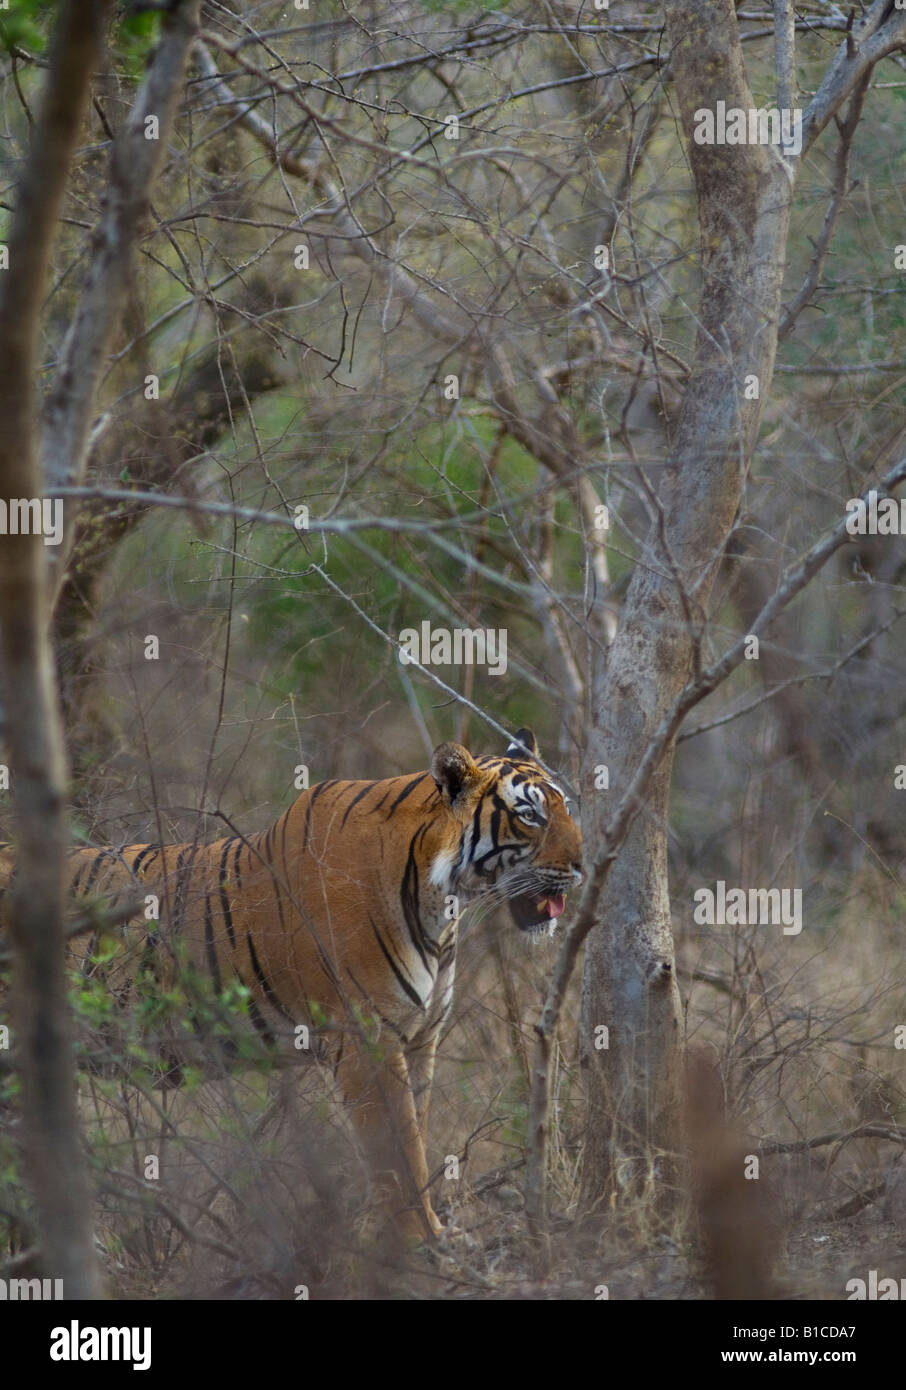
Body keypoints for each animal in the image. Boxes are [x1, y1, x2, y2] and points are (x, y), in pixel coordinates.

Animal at [0, 727, 582, 1243]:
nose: (581, 867)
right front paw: (421, 1243)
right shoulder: (365, 1039)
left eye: (567, 808)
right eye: (531, 815)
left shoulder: (421, 1037)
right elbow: (401, 1153)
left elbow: (416, 1134)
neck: (443, 904)